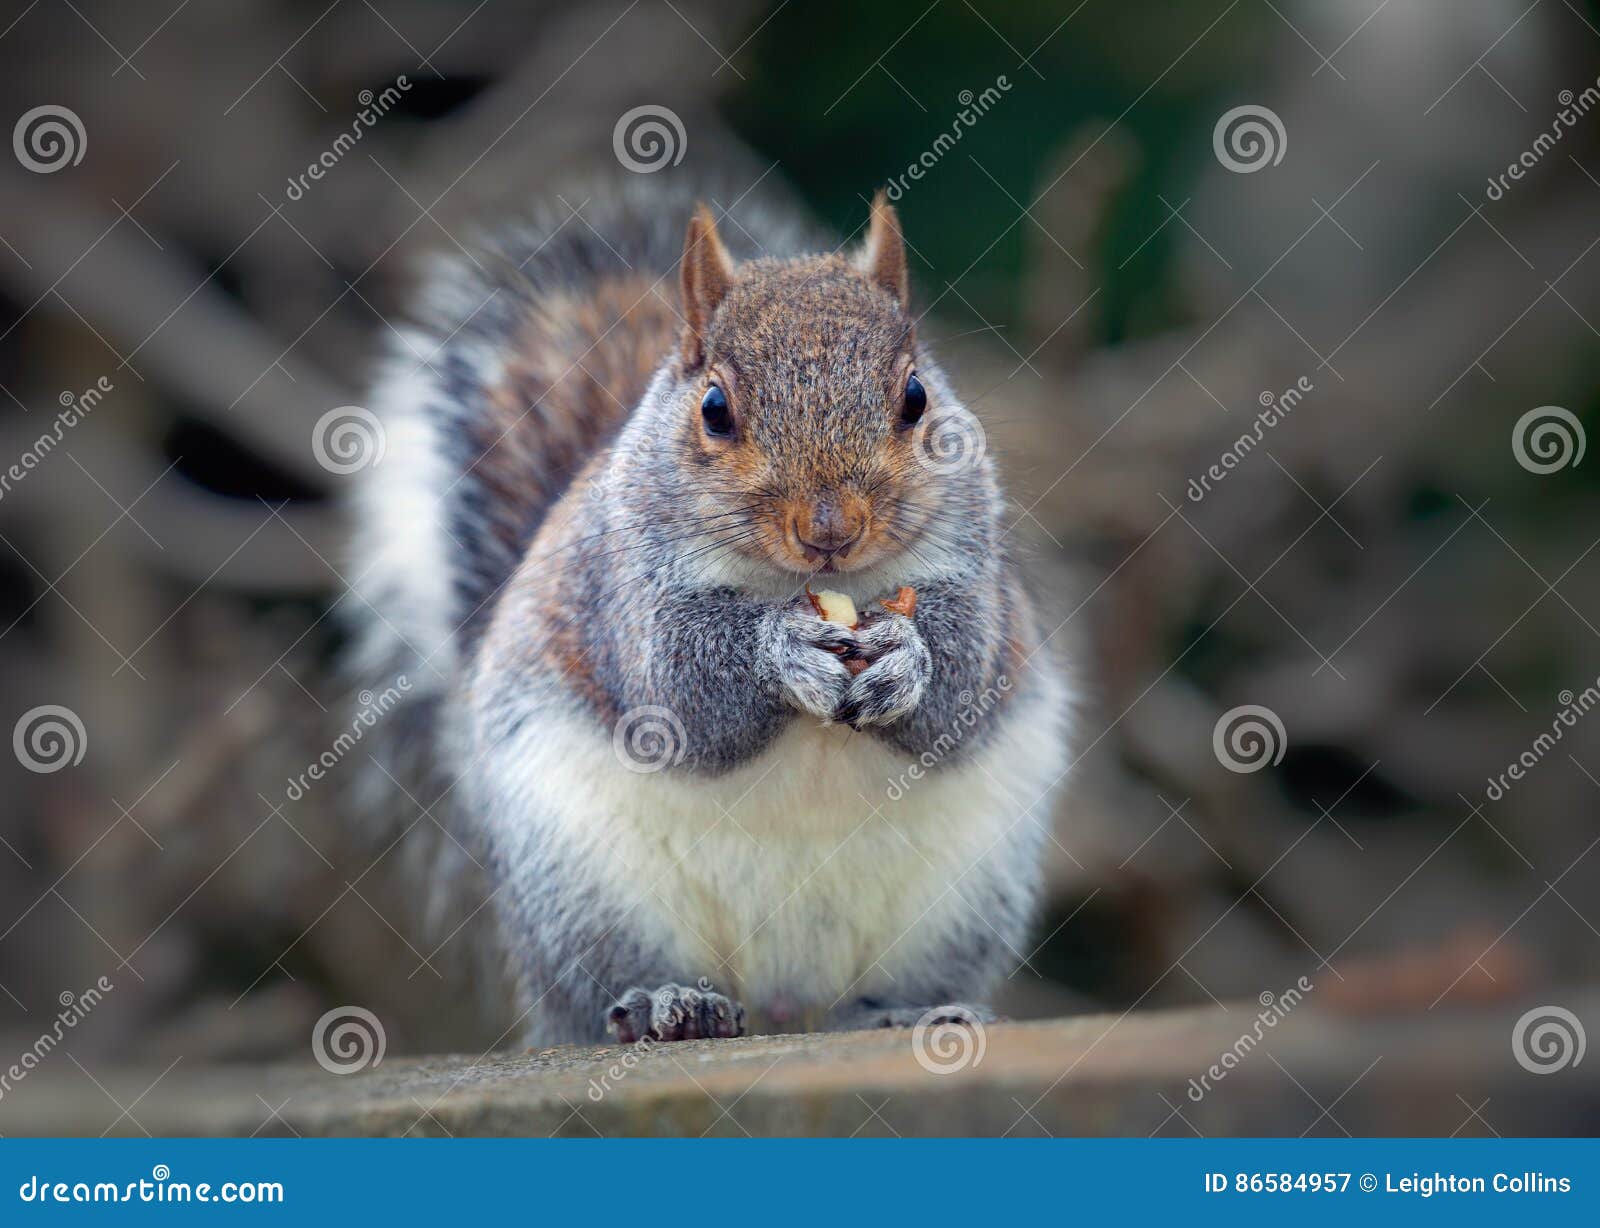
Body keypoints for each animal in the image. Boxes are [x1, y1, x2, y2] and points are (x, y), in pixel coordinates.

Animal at [349, 177, 1072, 1046]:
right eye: (716, 408)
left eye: (915, 397)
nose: (830, 529)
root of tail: (783, 1001)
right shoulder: (622, 590)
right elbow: (680, 696)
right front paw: (780, 648)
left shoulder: (977, 572)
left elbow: (964, 684)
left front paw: (908, 654)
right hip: (581, 885)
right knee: (599, 990)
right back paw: (667, 1003)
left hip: (966, 895)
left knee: (887, 985)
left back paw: (899, 1009)